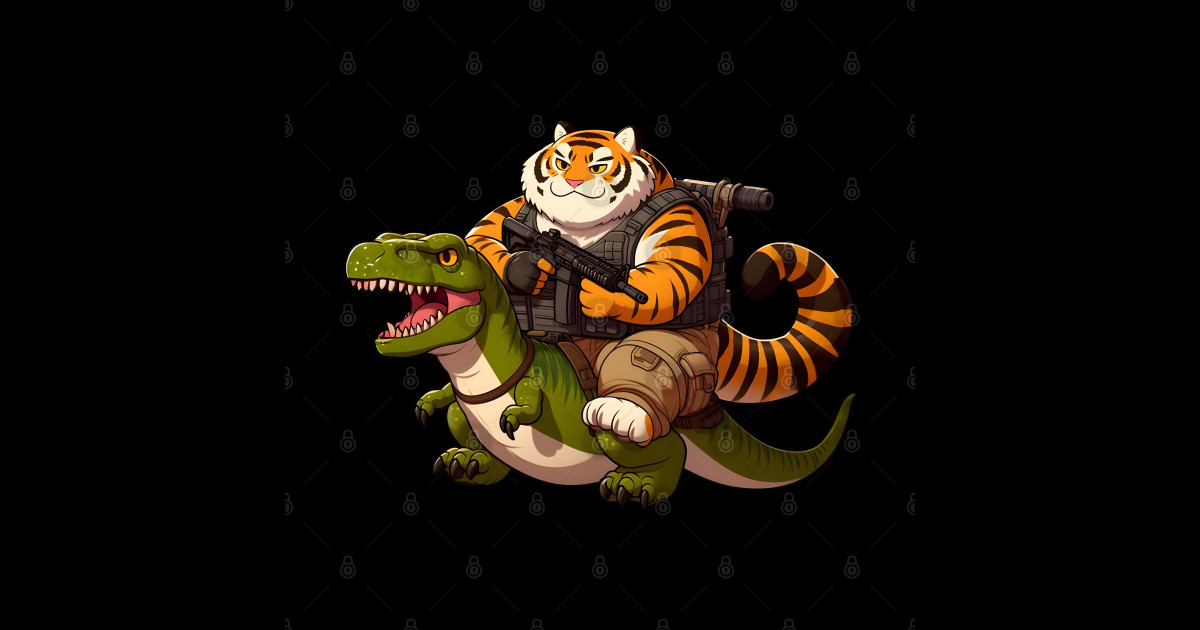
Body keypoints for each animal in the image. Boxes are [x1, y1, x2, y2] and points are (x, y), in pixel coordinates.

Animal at [466, 122, 851, 445]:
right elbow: (482, 233)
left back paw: (623, 410)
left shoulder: (678, 222)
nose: (573, 183)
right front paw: (521, 270)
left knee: (651, 352)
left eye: (599, 166)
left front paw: (607, 296)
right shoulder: (521, 221)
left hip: (693, 346)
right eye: (560, 162)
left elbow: (671, 274)